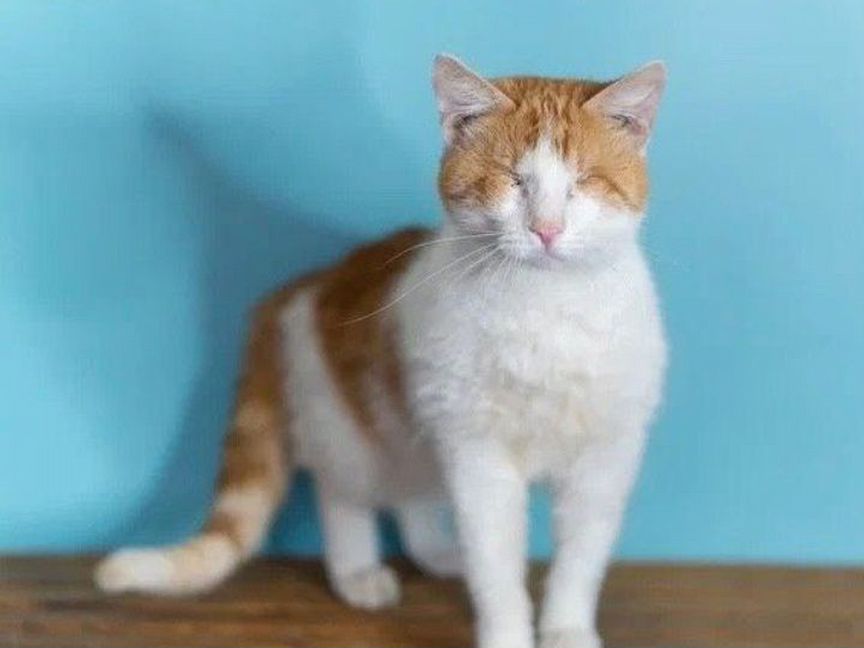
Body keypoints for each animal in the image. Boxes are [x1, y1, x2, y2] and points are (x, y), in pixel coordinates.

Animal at [96, 54, 667, 648]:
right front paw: (507, 633)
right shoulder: (479, 456)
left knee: (410, 494)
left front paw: (567, 629)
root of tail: (311, 281)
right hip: (348, 422)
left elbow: (579, 561)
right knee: (344, 494)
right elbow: (496, 563)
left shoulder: (605, 458)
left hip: (415, 430)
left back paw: (437, 554)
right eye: (511, 180)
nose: (546, 230)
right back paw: (358, 573)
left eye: (583, 183)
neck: (545, 312)